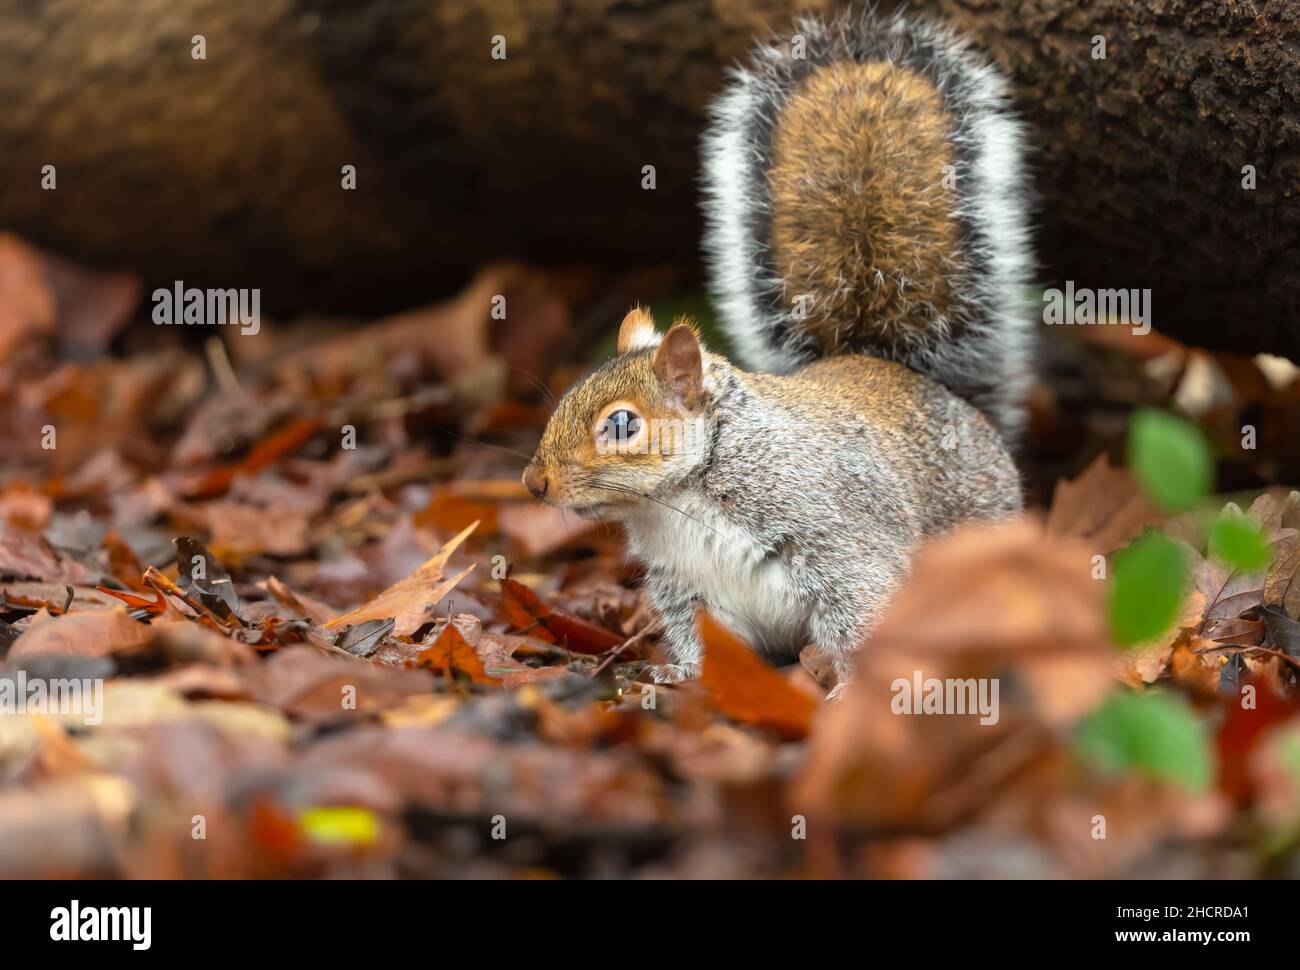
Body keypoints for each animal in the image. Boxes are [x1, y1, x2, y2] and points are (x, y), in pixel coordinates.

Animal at [522, 10, 1033, 695]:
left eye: (623, 425)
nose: (535, 482)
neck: (677, 502)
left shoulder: (838, 537)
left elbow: (859, 612)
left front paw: (847, 692)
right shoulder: (688, 590)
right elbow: (701, 645)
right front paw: (678, 678)